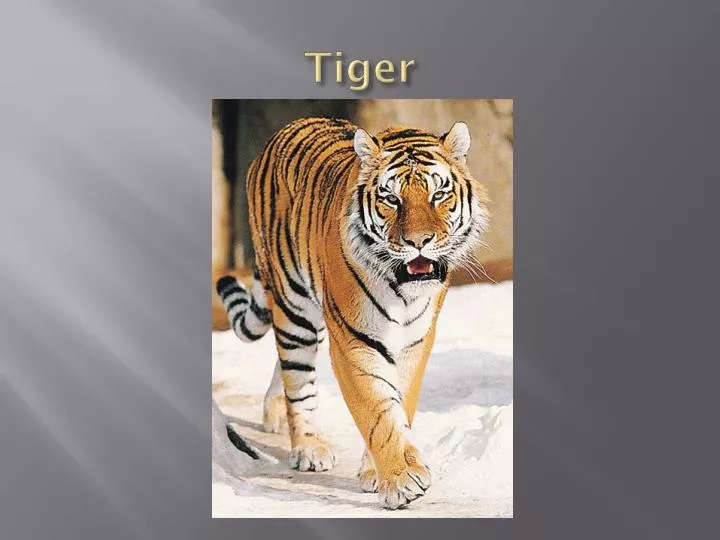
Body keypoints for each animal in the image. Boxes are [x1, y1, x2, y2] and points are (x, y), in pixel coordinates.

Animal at [215, 117, 489, 509]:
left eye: (438, 195)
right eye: (391, 198)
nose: (419, 242)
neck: (402, 291)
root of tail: (284, 130)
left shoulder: (415, 340)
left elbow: (399, 402)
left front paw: (377, 472)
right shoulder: (354, 339)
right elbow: (376, 409)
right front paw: (401, 480)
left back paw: (275, 414)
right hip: (295, 306)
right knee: (297, 376)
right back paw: (309, 447)